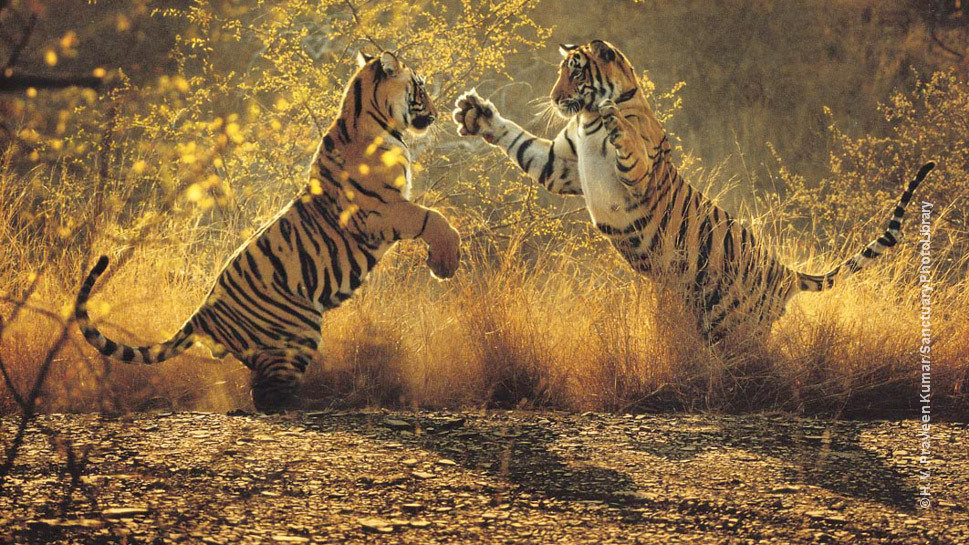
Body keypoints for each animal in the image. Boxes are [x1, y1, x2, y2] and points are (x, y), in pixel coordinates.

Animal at [75, 51, 460, 412]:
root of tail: (202, 313)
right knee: (266, 395)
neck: (371, 115)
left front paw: (436, 261)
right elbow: (434, 218)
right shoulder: (381, 210)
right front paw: (445, 264)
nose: (437, 114)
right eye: (419, 87)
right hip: (298, 329)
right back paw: (306, 405)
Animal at [452, 39, 932, 342]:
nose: (554, 98)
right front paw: (475, 114)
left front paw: (615, 120)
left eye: (574, 74)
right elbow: (520, 142)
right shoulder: (561, 167)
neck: (586, 119)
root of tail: (784, 271)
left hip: (738, 326)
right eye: (560, 74)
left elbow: (629, 144)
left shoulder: (638, 176)